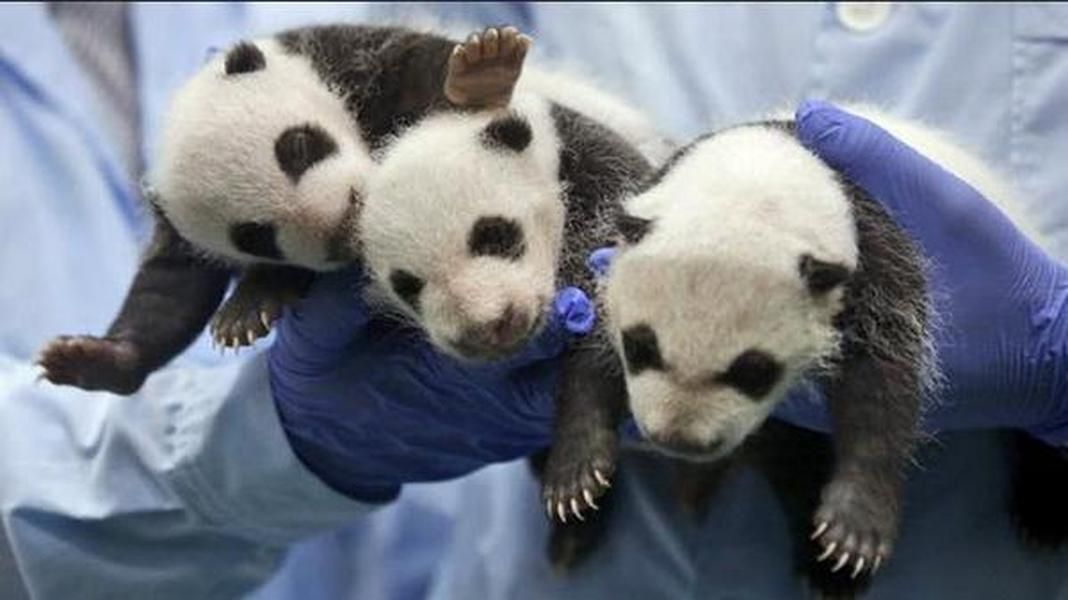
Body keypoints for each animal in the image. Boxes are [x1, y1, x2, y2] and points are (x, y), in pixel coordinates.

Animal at [36, 23, 534, 394]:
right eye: (255, 235)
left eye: (296, 146)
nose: (340, 224)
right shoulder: (177, 232)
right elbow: (170, 294)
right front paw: (92, 358)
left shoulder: (348, 60)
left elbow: (421, 76)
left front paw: (480, 74)